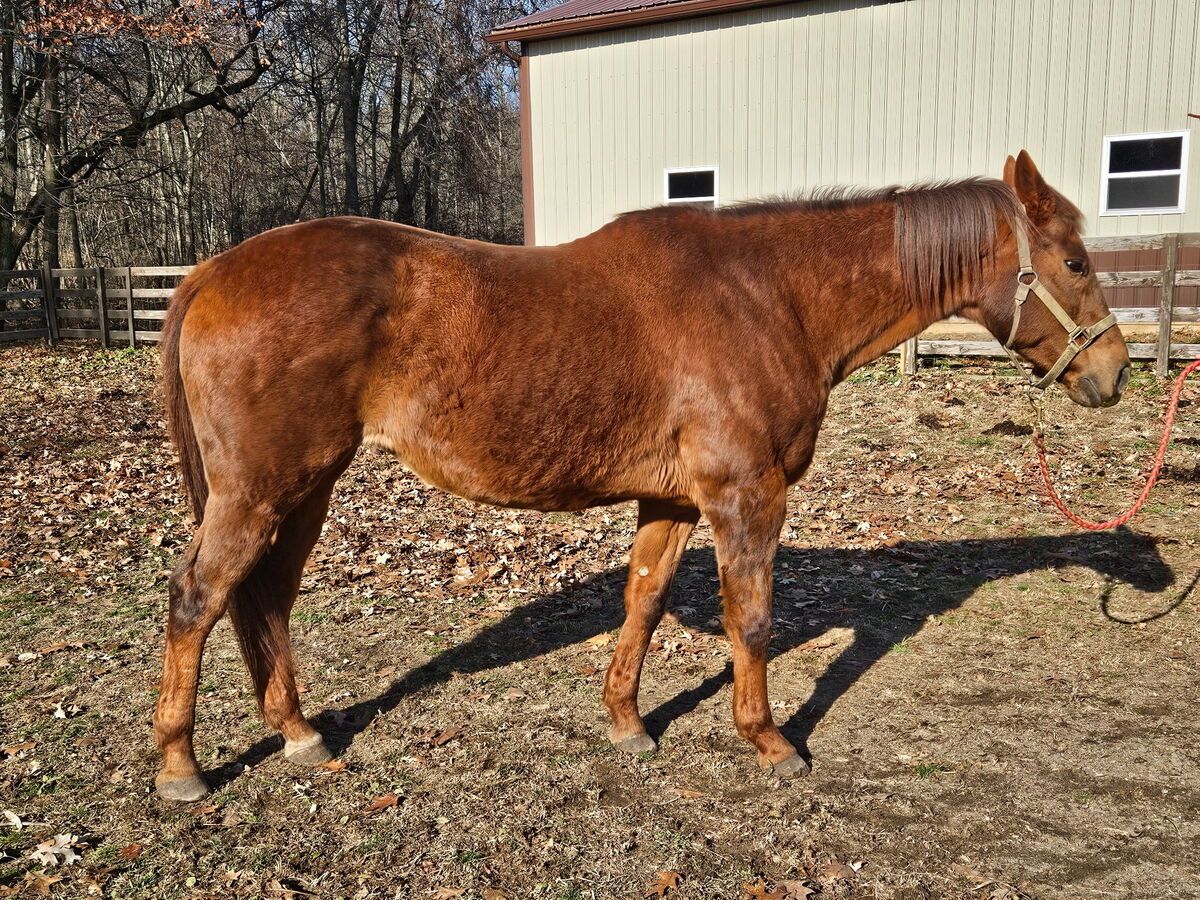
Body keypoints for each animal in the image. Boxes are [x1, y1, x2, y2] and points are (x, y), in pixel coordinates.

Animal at [153, 150, 1130, 801]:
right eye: (1075, 262)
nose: (1113, 373)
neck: (768, 292)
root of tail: (210, 272)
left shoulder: (670, 500)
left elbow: (645, 602)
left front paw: (626, 723)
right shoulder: (746, 495)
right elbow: (753, 620)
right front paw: (769, 740)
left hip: (304, 490)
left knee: (268, 598)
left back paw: (298, 734)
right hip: (261, 491)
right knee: (198, 596)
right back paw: (181, 766)